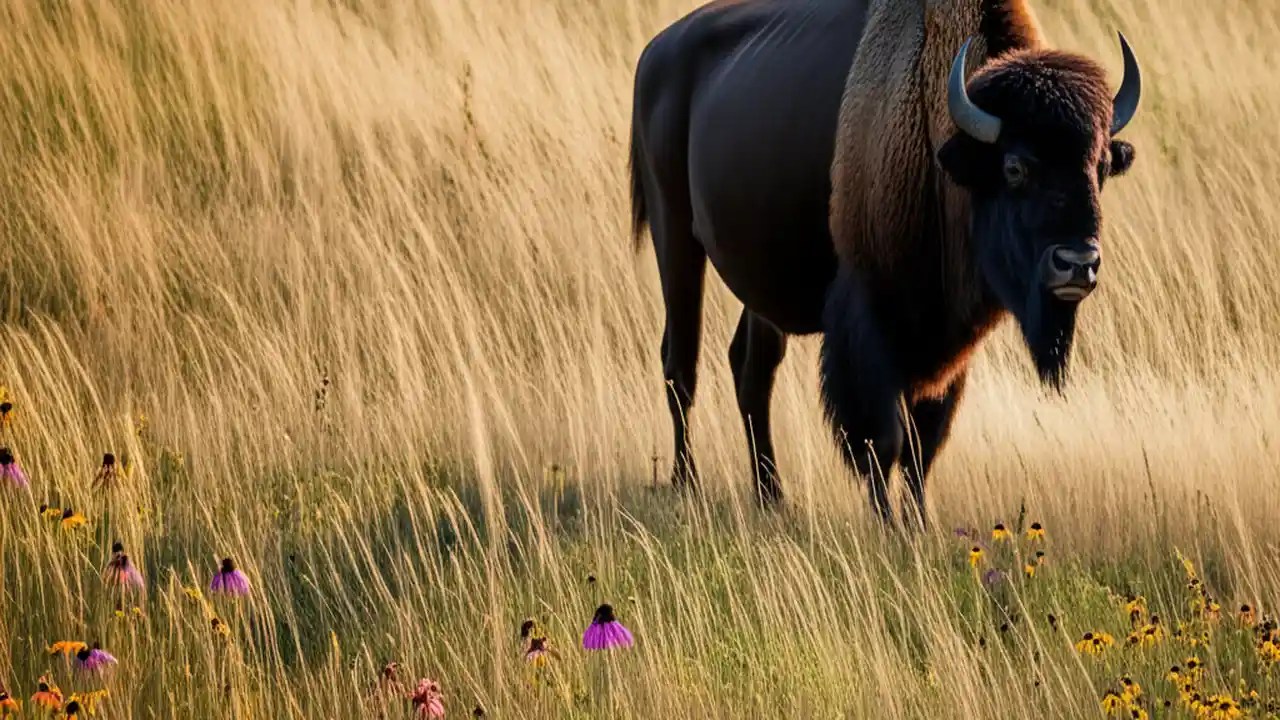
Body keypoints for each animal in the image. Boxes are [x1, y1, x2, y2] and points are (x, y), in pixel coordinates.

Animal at [627, 0, 1141, 524]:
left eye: (1102, 167)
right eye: (1015, 167)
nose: (1077, 264)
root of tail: (655, 53)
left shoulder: (947, 342)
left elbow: (925, 438)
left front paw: (919, 521)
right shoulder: (870, 319)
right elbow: (885, 435)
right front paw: (887, 522)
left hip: (758, 292)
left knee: (752, 369)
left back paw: (771, 495)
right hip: (676, 239)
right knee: (681, 364)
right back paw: (686, 483)